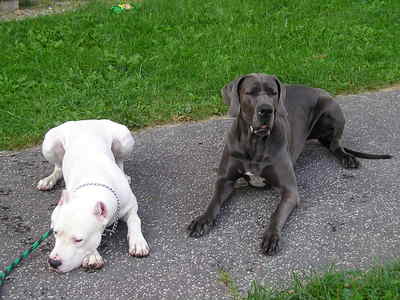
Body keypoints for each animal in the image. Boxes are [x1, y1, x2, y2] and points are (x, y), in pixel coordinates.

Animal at [37, 119, 149, 272]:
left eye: (79, 240)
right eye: (55, 232)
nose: (53, 262)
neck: (93, 185)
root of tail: (84, 121)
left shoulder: (131, 206)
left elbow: (135, 220)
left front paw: (137, 241)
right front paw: (92, 256)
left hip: (123, 139)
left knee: (120, 160)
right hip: (49, 144)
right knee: (58, 166)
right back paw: (49, 180)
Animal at [189, 72, 392, 255]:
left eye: (273, 93)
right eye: (250, 92)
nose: (267, 110)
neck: (255, 142)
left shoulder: (289, 190)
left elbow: (277, 214)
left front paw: (271, 237)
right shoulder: (225, 180)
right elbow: (214, 201)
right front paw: (202, 219)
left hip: (332, 109)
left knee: (334, 144)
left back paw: (347, 158)